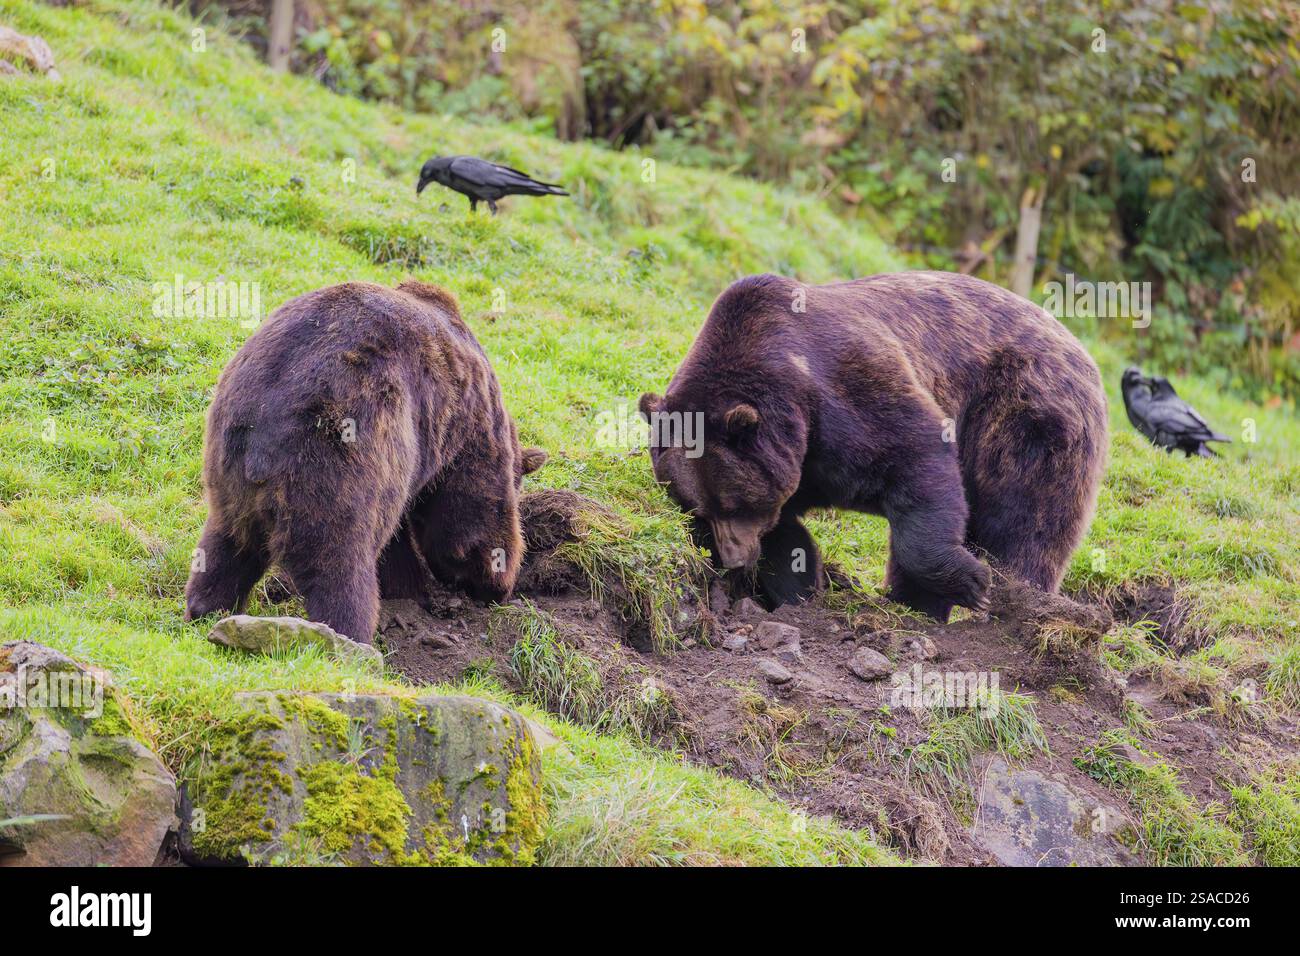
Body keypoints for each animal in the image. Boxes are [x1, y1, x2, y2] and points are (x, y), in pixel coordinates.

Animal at [184, 280, 546, 643]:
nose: (500, 593)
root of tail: (261, 445)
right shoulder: (464, 429)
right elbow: (470, 515)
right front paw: (487, 580)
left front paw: (412, 588)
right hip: (339, 461)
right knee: (342, 567)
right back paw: (350, 636)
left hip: (228, 473)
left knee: (226, 549)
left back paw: (207, 610)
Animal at [640, 271, 1108, 622]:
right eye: (698, 510)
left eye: (733, 503)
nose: (734, 558)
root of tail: (1077, 346)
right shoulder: (796, 465)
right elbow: (786, 534)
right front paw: (799, 589)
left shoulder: (847, 396)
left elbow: (915, 461)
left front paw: (975, 582)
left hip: (1028, 415)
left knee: (1024, 520)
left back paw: (1016, 601)